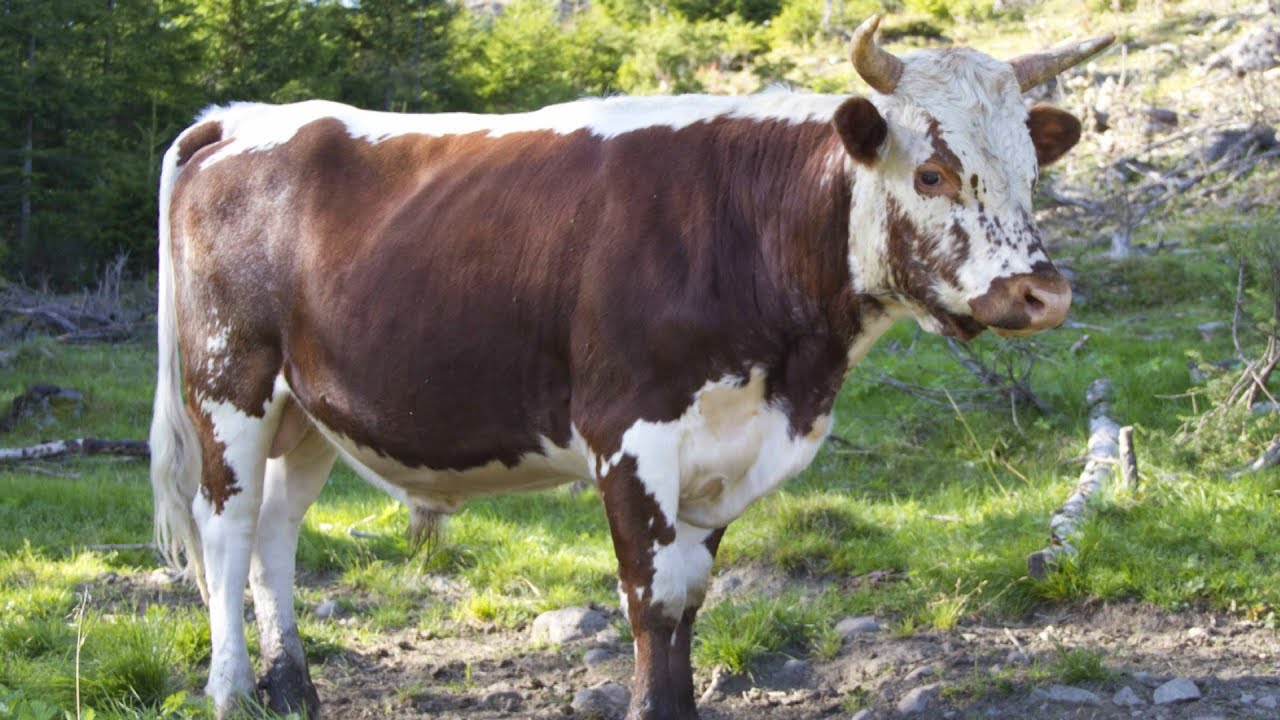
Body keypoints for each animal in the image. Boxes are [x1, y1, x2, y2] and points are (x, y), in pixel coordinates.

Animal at [149, 17, 1112, 719]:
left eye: (1031, 172)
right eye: (935, 173)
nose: (1042, 294)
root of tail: (241, 116)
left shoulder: (723, 450)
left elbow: (688, 597)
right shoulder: (630, 432)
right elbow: (649, 598)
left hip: (309, 407)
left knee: (276, 533)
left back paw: (293, 690)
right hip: (228, 382)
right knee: (228, 530)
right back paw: (233, 693)